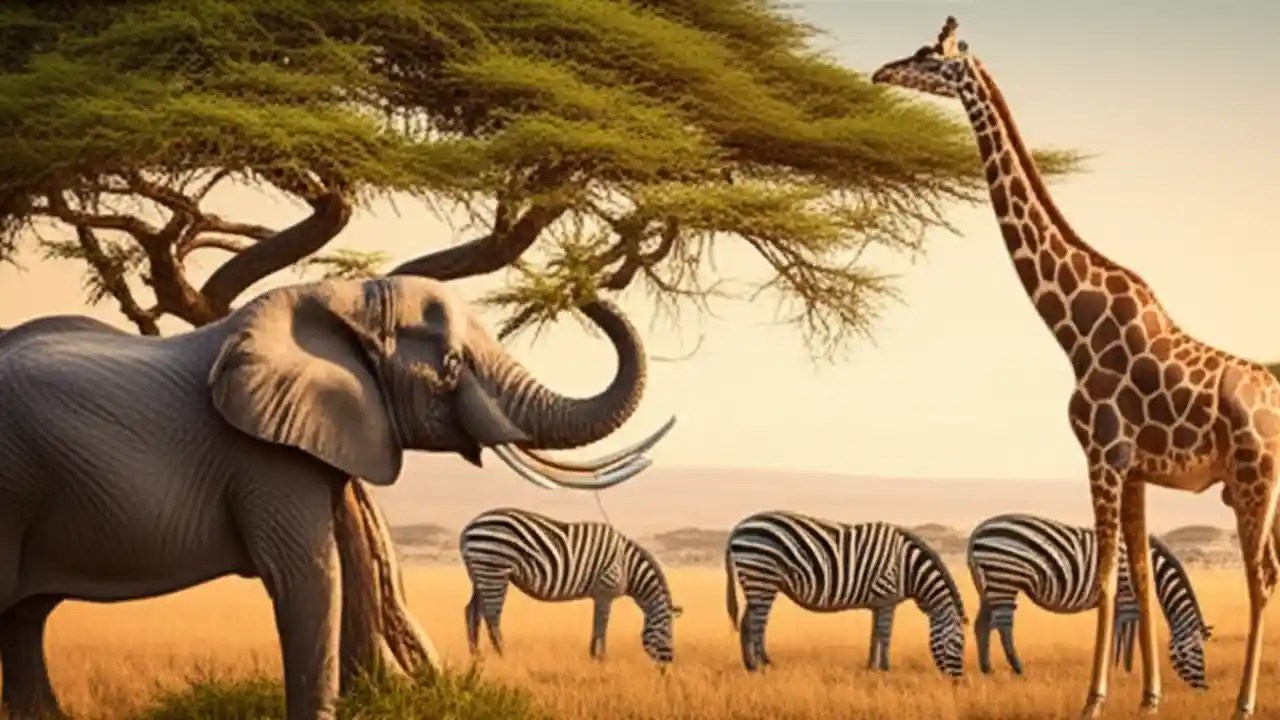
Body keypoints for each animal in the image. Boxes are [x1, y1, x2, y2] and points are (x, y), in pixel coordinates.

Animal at [459, 507, 682, 664]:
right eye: (667, 633)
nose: (668, 666)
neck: (628, 567)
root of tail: (468, 527)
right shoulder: (605, 591)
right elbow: (601, 627)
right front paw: (601, 660)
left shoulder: (599, 595)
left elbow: (596, 626)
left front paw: (594, 657)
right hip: (494, 569)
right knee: (492, 616)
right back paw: (503, 656)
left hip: (479, 574)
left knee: (471, 611)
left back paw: (476, 656)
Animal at [725, 510, 967, 677]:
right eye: (958, 645)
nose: (958, 681)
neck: (908, 567)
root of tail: (740, 525)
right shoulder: (887, 598)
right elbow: (885, 635)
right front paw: (885, 669)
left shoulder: (879, 602)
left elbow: (874, 635)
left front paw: (871, 668)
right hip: (762, 577)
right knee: (755, 625)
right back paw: (762, 666)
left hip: (758, 582)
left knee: (747, 622)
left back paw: (752, 666)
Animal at [966, 513, 1213, 689]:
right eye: (1196, 651)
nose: (1203, 688)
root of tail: (978, 530)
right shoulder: (1128, 599)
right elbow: (1124, 635)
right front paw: (1120, 671)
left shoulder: (1122, 602)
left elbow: (1122, 636)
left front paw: (1120, 670)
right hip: (1006, 578)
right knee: (1003, 626)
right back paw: (1018, 669)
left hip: (990, 587)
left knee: (982, 626)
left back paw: (987, 670)